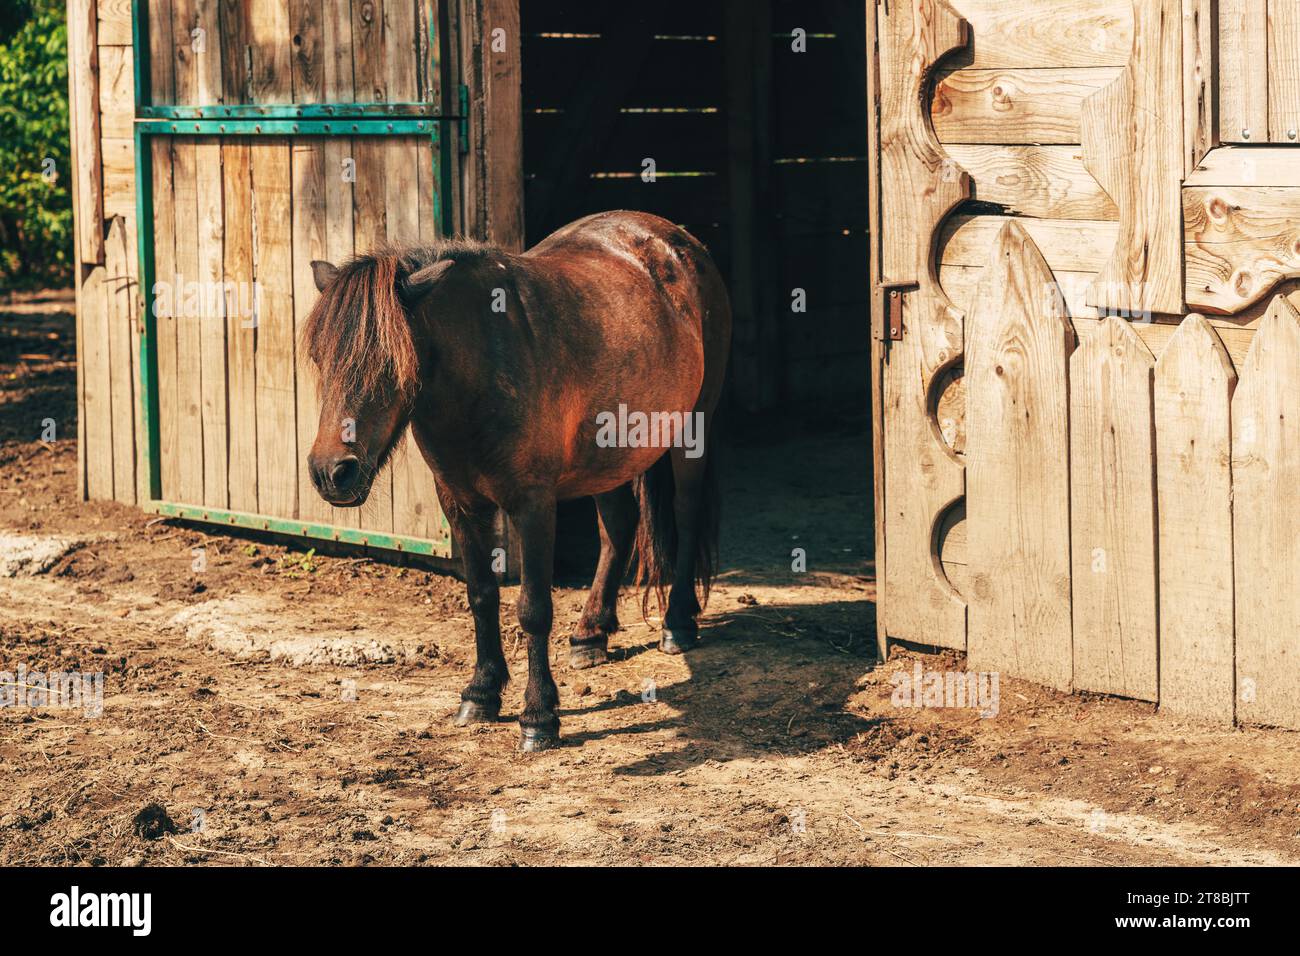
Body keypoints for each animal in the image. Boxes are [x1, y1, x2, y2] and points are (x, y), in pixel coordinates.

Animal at [301, 210, 732, 751]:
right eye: (321, 359)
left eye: (390, 363)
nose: (330, 472)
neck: (485, 363)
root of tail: (675, 239)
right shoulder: (459, 503)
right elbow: (482, 595)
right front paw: (482, 692)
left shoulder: (532, 504)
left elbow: (533, 608)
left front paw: (539, 716)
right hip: (609, 454)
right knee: (617, 528)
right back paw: (591, 633)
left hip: (694, 429)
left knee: (686, 514)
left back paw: (677, 623)